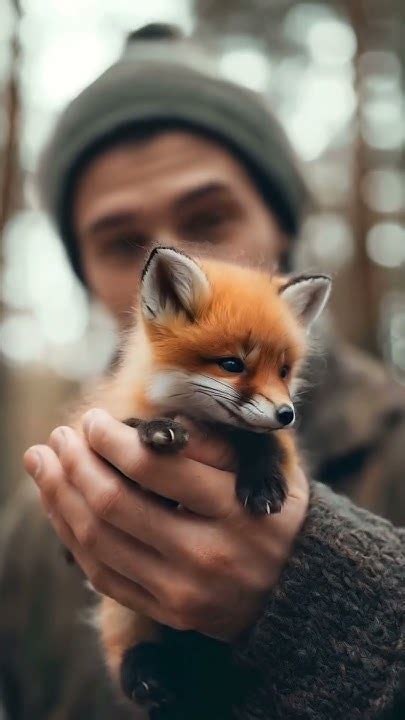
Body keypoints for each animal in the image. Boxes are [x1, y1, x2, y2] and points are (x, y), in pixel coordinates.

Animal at [70, 246, 331, 717]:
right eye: (232, 364)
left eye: (284, 370)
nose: (286, 413)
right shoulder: (104, 431)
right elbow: (132, 425)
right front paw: (160, 430)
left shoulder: (279, 444)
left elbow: (264, 443)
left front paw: (263, 485)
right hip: (128, 614)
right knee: (131, 652)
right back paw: (147, 676)